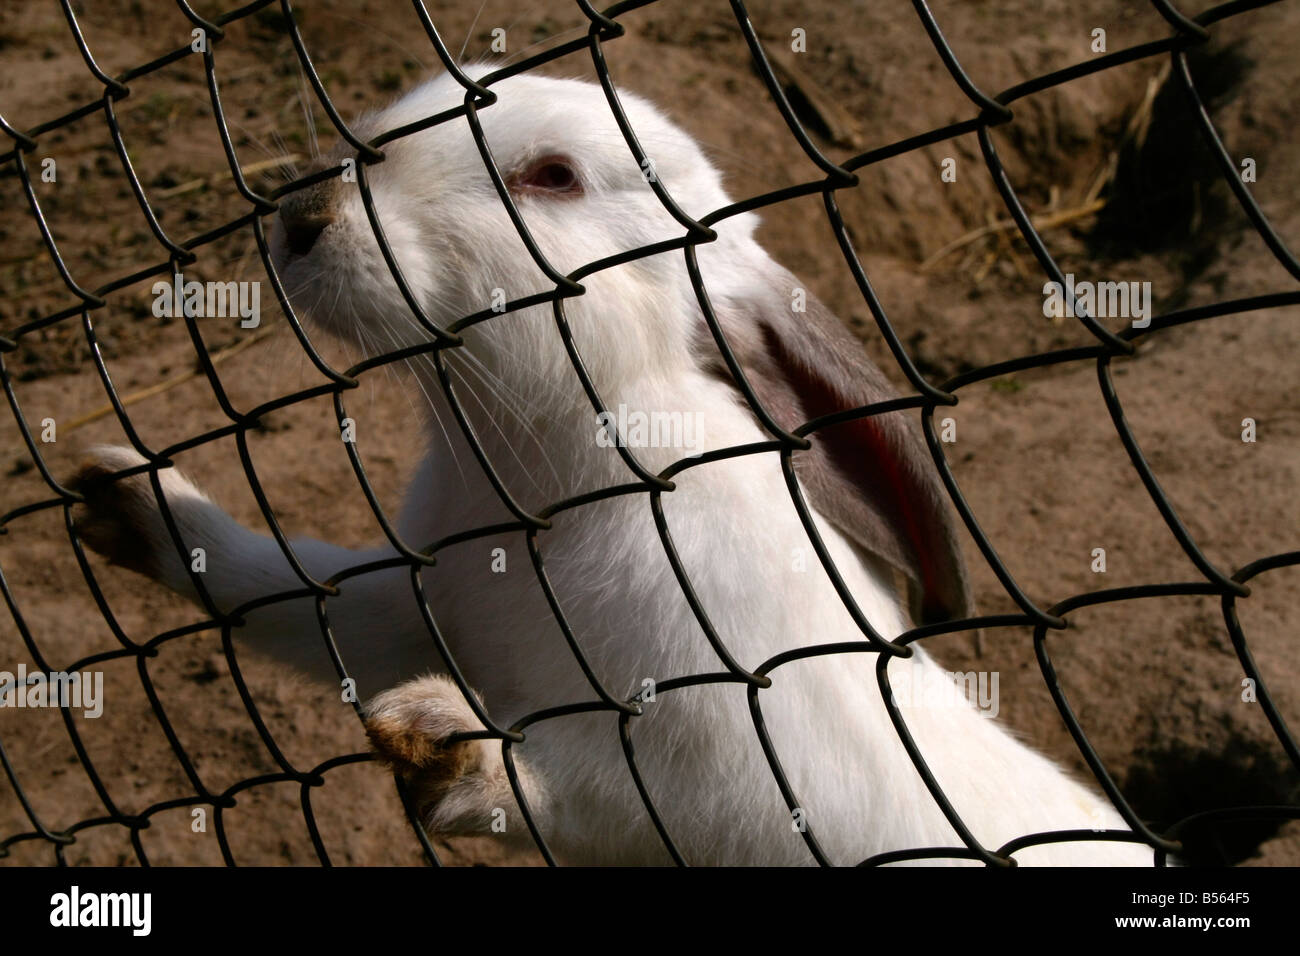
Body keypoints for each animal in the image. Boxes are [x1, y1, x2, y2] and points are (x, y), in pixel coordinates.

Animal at [70, 66, 1156, 866]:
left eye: (554, 177)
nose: (300, 219)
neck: (554, 480)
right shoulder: (414, 605)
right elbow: (295, 593)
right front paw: (125, 500)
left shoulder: (725, 780)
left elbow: (583, 792)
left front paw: (444, 743)